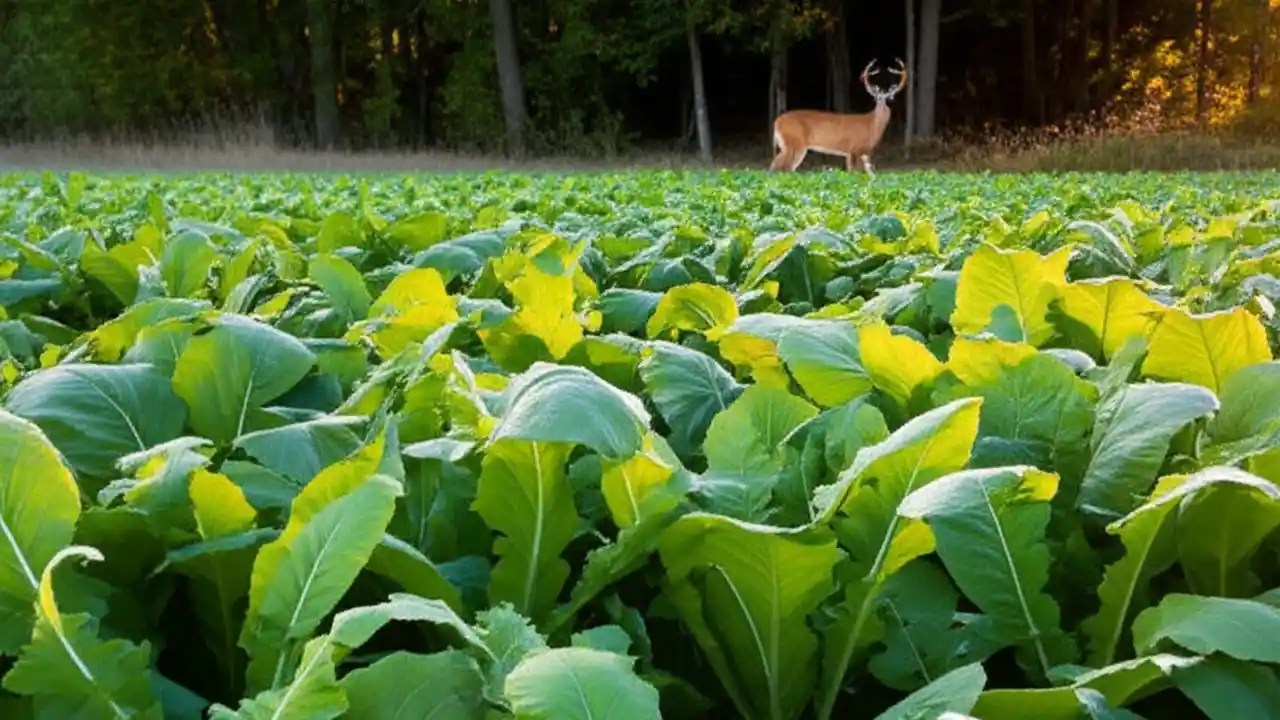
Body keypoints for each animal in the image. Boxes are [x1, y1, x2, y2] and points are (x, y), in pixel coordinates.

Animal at [769, 58, 908, 175]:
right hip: (794, 142)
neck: (871, 125)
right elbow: (856, 172)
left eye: (888, 98)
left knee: (780, 166)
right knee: (781, 167)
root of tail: (777, 122)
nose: (881, 103)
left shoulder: (860, 153)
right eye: (875, 98)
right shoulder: (855, 148)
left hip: (787, 145)